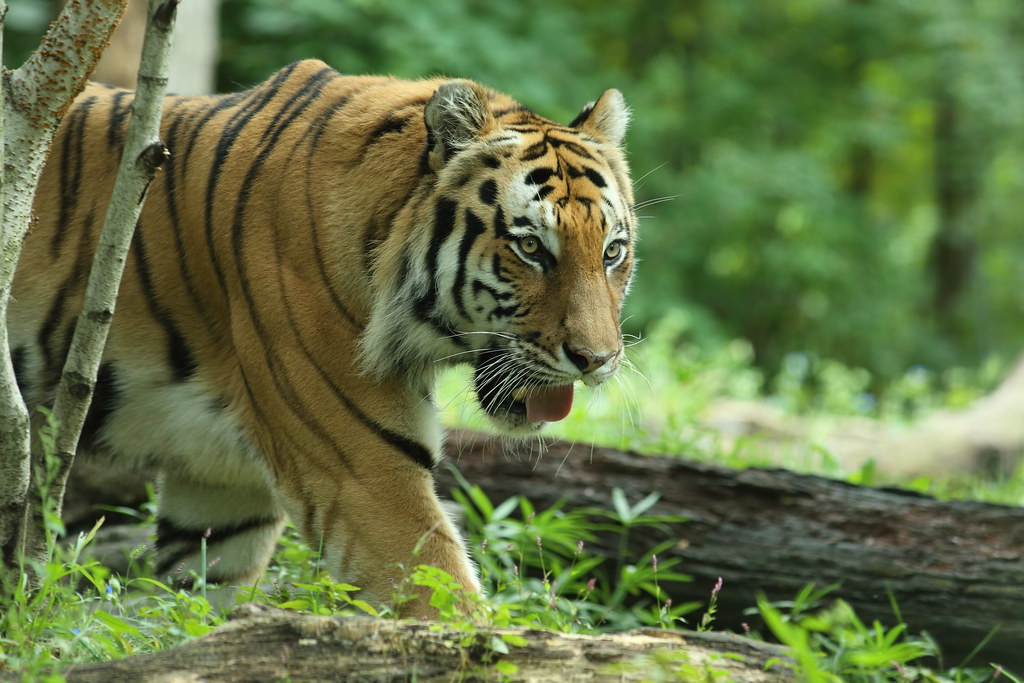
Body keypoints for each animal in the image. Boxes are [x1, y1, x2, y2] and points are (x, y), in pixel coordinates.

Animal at [9, 59, 636, 616]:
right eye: (530, 247)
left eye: (612, 252)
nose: (596, 360)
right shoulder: (362, 473)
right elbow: (448, 605)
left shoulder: (221, 483)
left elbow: (196, 604)